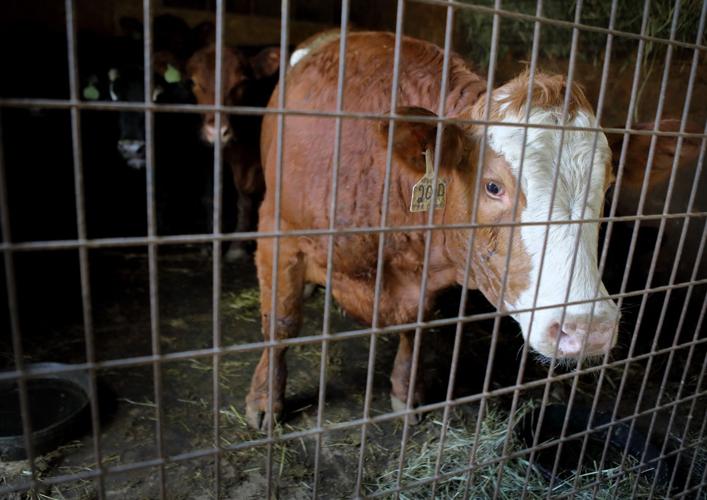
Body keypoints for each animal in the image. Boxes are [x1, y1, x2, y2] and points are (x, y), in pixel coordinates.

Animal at [244, 31, 621, 430]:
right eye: (493, 186)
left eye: (608, 186)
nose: (588, 327)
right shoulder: (277, 230)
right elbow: (281, 323)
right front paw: (265, 400)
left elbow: (416, 329)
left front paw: (406, 393)